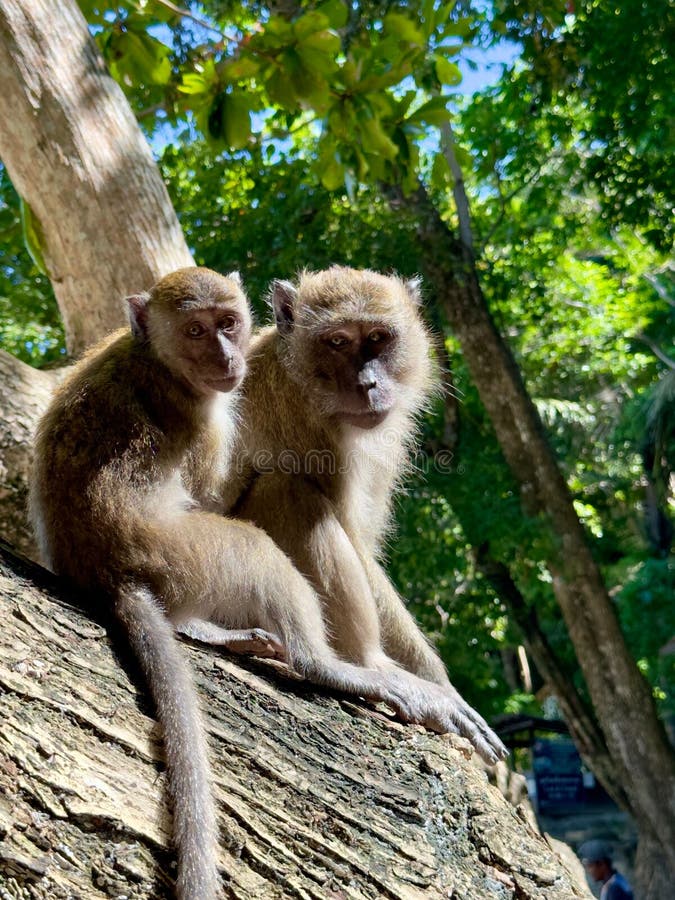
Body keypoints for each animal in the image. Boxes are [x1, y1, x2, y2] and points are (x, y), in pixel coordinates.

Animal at [228, 266, 508, 765]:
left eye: (378, 338)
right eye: (337, 342)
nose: (368, 385)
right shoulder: (306, 429)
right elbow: (355, 544)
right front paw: (439, 689)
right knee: (289, 490)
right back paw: (369, 666)